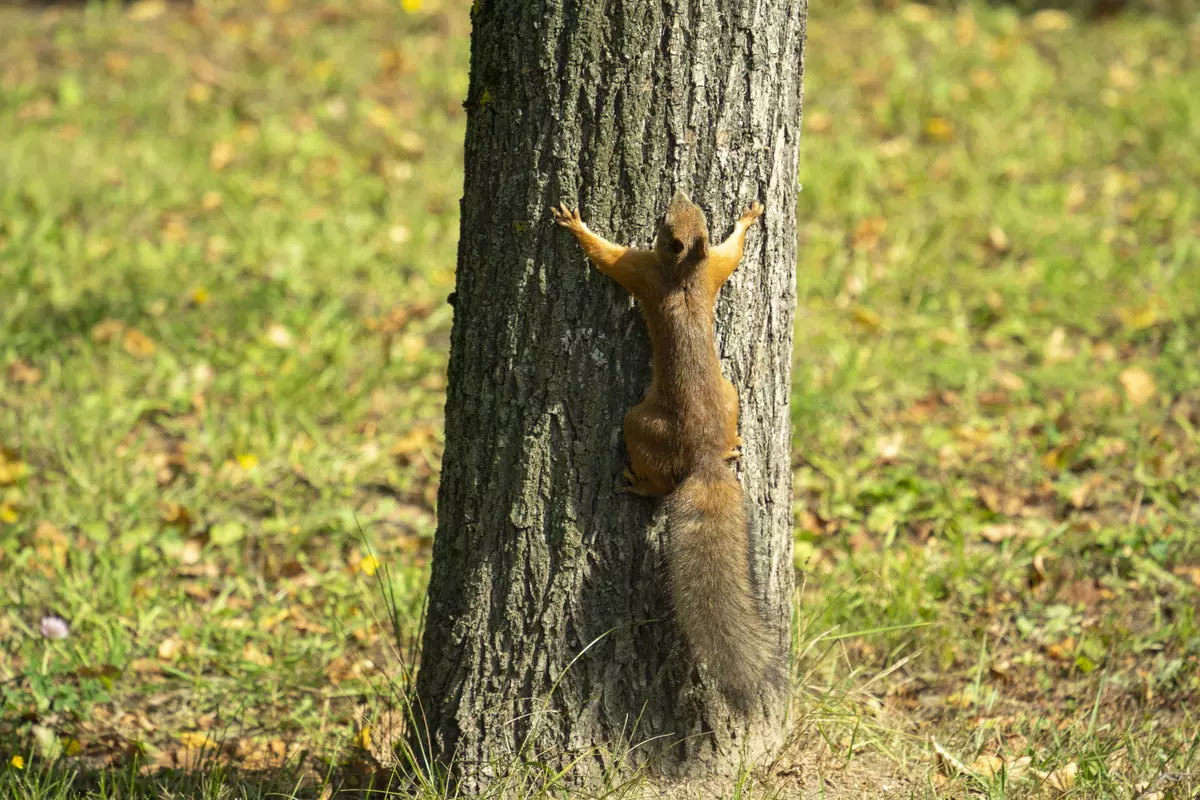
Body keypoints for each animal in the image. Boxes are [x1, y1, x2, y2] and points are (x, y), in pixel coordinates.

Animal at [549, 191, 782, 714]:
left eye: (664, 221)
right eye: (689, 212)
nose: (676, 193)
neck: (684, 271)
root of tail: (705, 456)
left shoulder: (641, 271)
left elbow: (608, 257)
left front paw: (575, 225)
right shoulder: (714, 267)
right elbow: (732, 252)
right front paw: (747, 219)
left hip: (641, 425)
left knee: (653, 473)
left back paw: (640, 484)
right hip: (731, 396)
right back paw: (734, 447)